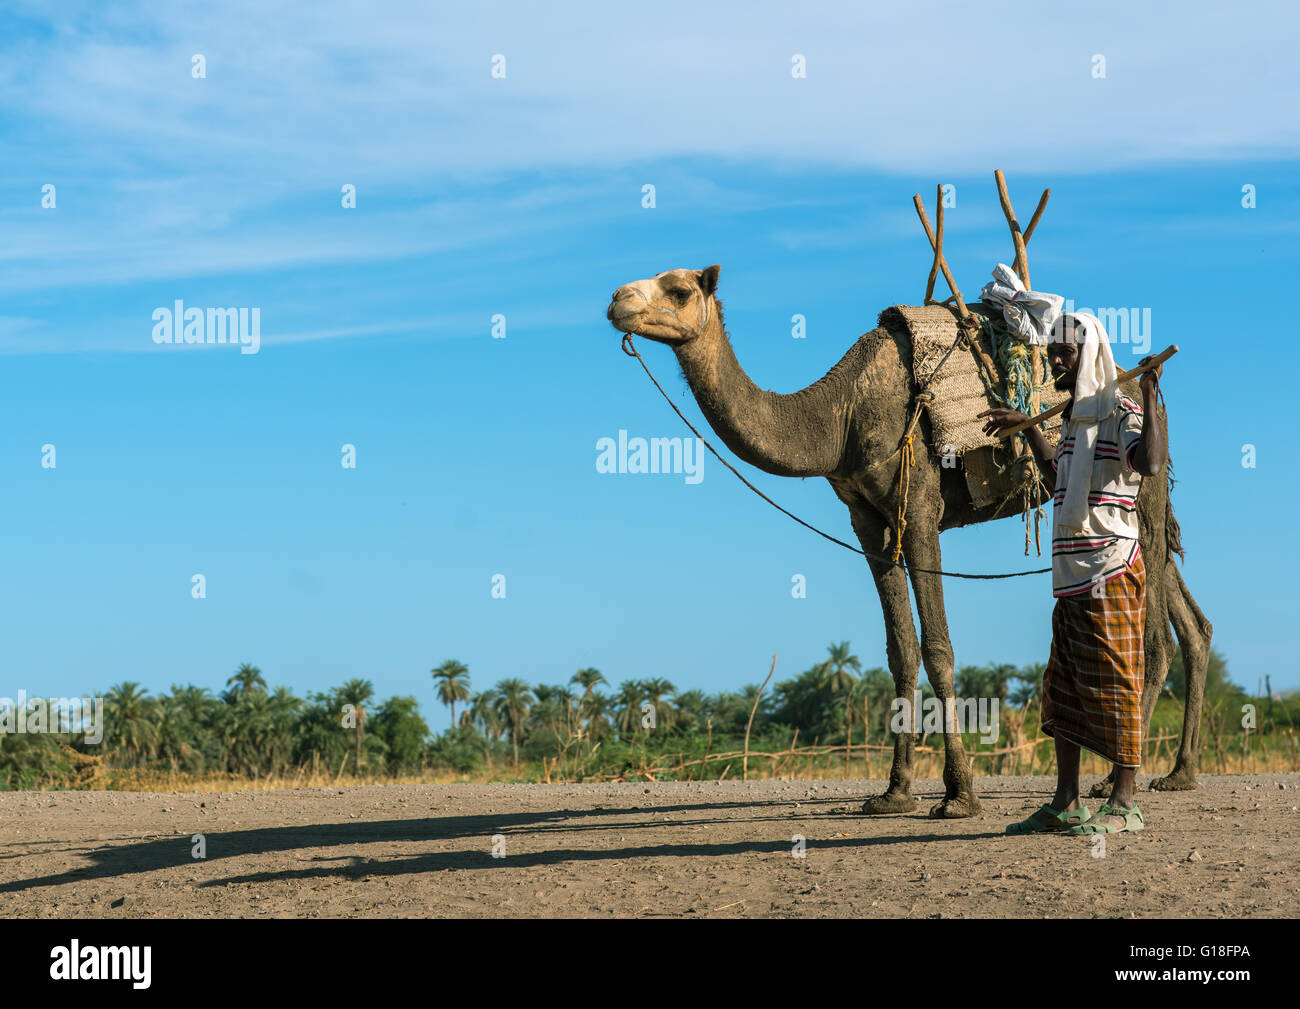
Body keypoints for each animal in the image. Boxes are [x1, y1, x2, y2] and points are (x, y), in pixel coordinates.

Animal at [607, 266, 1212, 817]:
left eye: (678, 290)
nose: (617, 300)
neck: (842, 414)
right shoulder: (867, 521)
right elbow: (901, 651)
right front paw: (894, 793)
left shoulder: (919, 507)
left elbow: (939, 647)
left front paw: (959, 795)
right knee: (1191, 623)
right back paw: (1176, 773)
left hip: (1139, 492)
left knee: (1153, 636)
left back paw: (1118, 777)